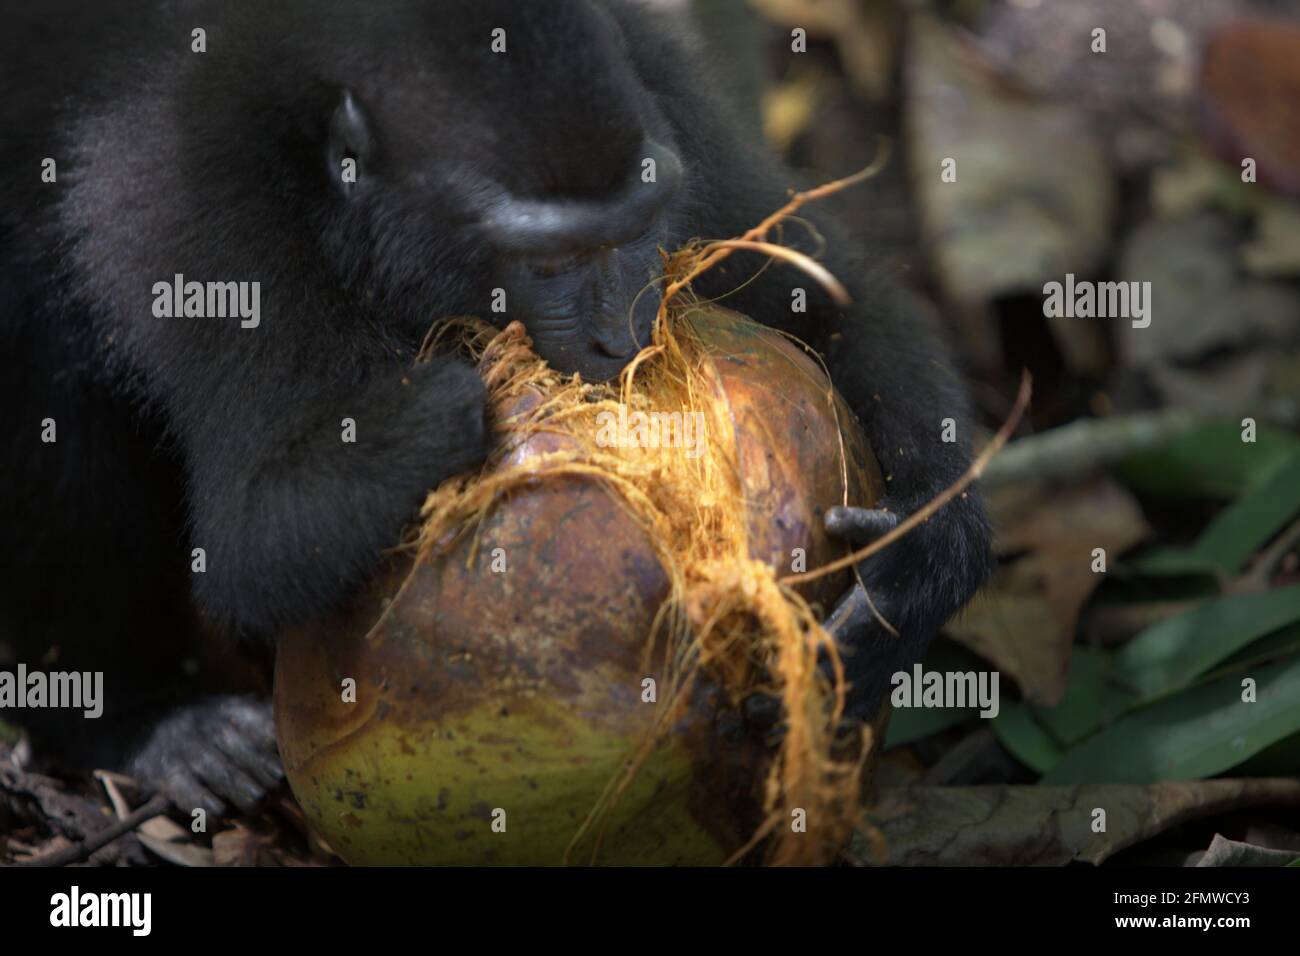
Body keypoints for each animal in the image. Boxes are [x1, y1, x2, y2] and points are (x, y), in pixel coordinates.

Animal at [0, 0, 992, 818]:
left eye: (638, 225)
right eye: (548, 258)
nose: (621, 332)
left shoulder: (663, 97)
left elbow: (835, 300)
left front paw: (920, 560)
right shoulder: (201, 215)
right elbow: (251, 545)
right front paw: (467, 389)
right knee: (53, 386)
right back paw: (140, 722)